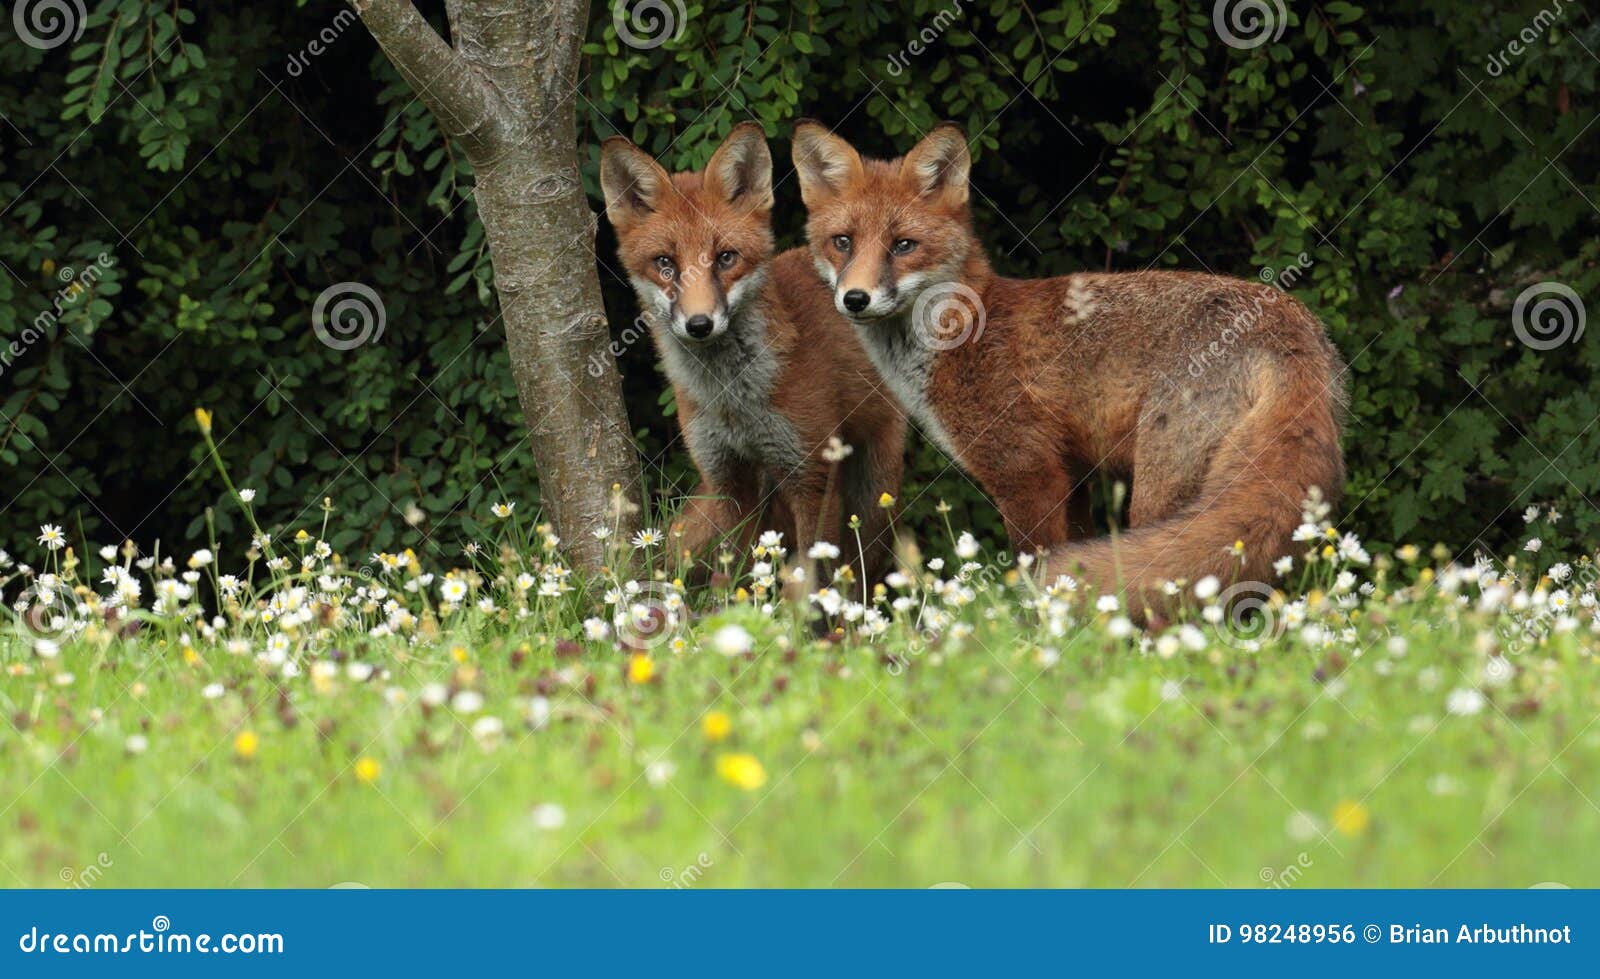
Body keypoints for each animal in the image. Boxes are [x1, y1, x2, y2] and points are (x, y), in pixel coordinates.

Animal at [600, 122, 906, 576]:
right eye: (665, 263)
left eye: (726, 258)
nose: (699, 324)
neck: (734, 401)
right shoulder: (726, 479)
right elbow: (729, 579)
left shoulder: (811, 476)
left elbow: (816, 576)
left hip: (876, 485)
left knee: (861, 565)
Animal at [791, 120, 1347, 606]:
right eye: (842, 243)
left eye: (904, 246)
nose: (855, 299)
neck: (962, 334)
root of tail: (1286, 327)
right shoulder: (1073, 474)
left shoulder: (1028, 472)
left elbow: (1038, 568)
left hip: (1159, 492)